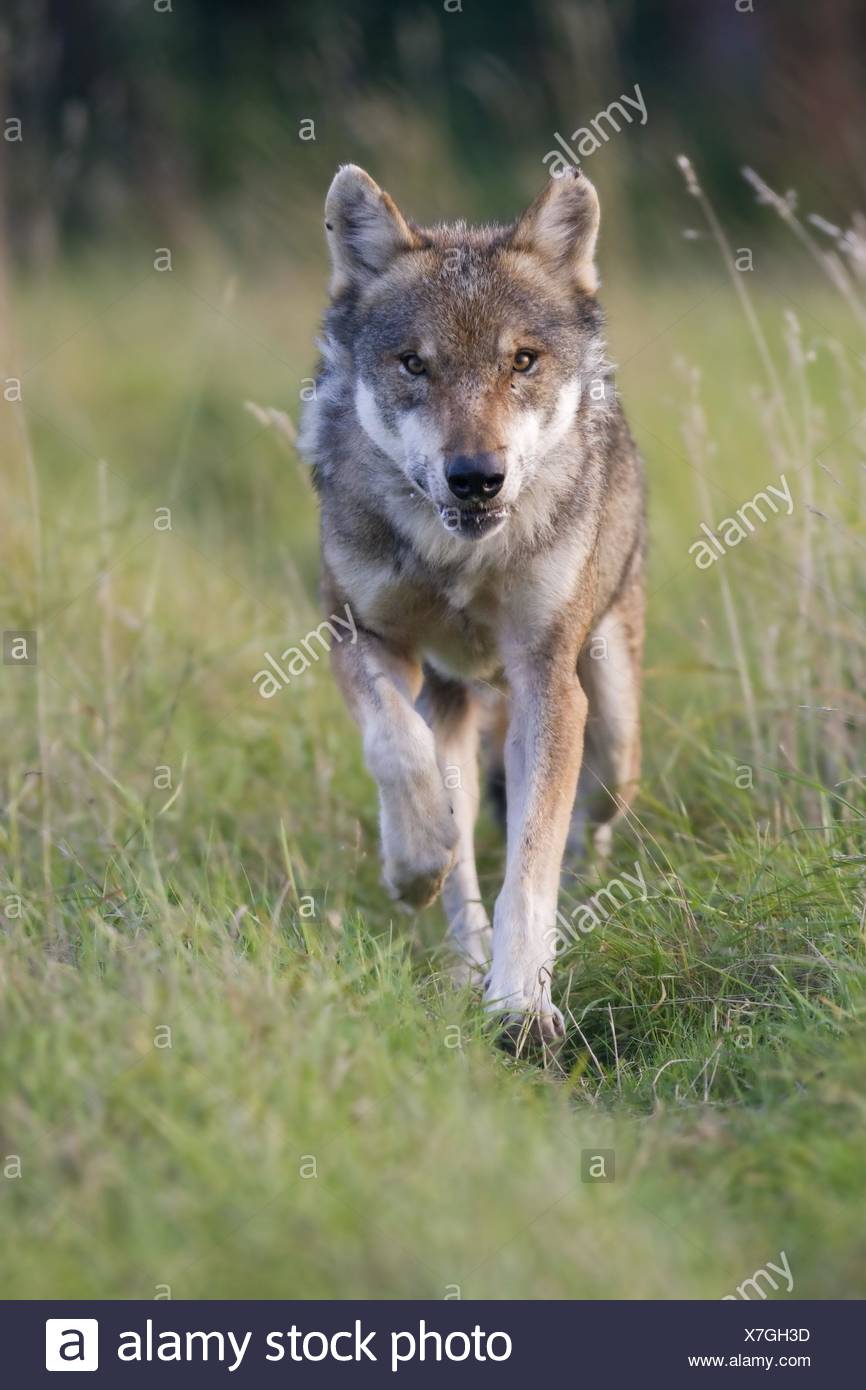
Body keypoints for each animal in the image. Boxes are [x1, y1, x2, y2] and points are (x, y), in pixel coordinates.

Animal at [299, 165, 645, 1044]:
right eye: (414, 365)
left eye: (521, 361)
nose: (476, 478)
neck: (460, 558)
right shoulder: (356, 632)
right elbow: (395, 749)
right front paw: (413, 863)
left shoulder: (547, 683)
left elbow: (531, 862)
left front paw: (522, 1005)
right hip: (454, 699)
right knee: (454, 826)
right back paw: (459, 958)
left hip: (611, 716)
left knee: (596, 810)